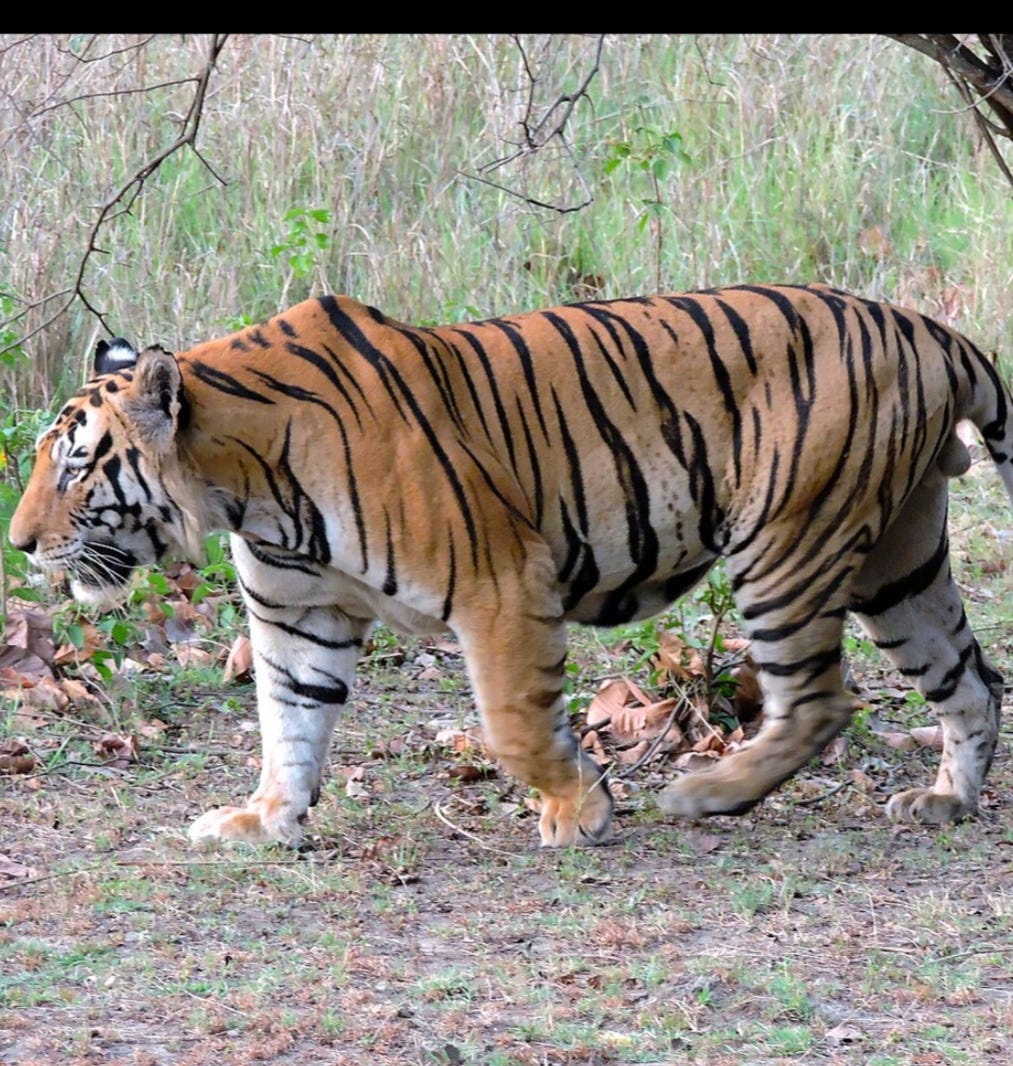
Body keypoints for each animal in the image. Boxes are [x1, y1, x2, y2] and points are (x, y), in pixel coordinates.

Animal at [9, 284, 1013, 849]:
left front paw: (582, 812)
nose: (17, 544)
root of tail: (930, 330)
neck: (247, 489)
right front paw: (265, 820)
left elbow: (514, 727)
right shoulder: (298, 618)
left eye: (76, 464)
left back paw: (706, 794)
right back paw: (945, 803)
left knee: (820, 699)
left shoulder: (500, 587)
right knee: (971, 680)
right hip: (898, 562)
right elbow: (288, 725)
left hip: (786, 543)